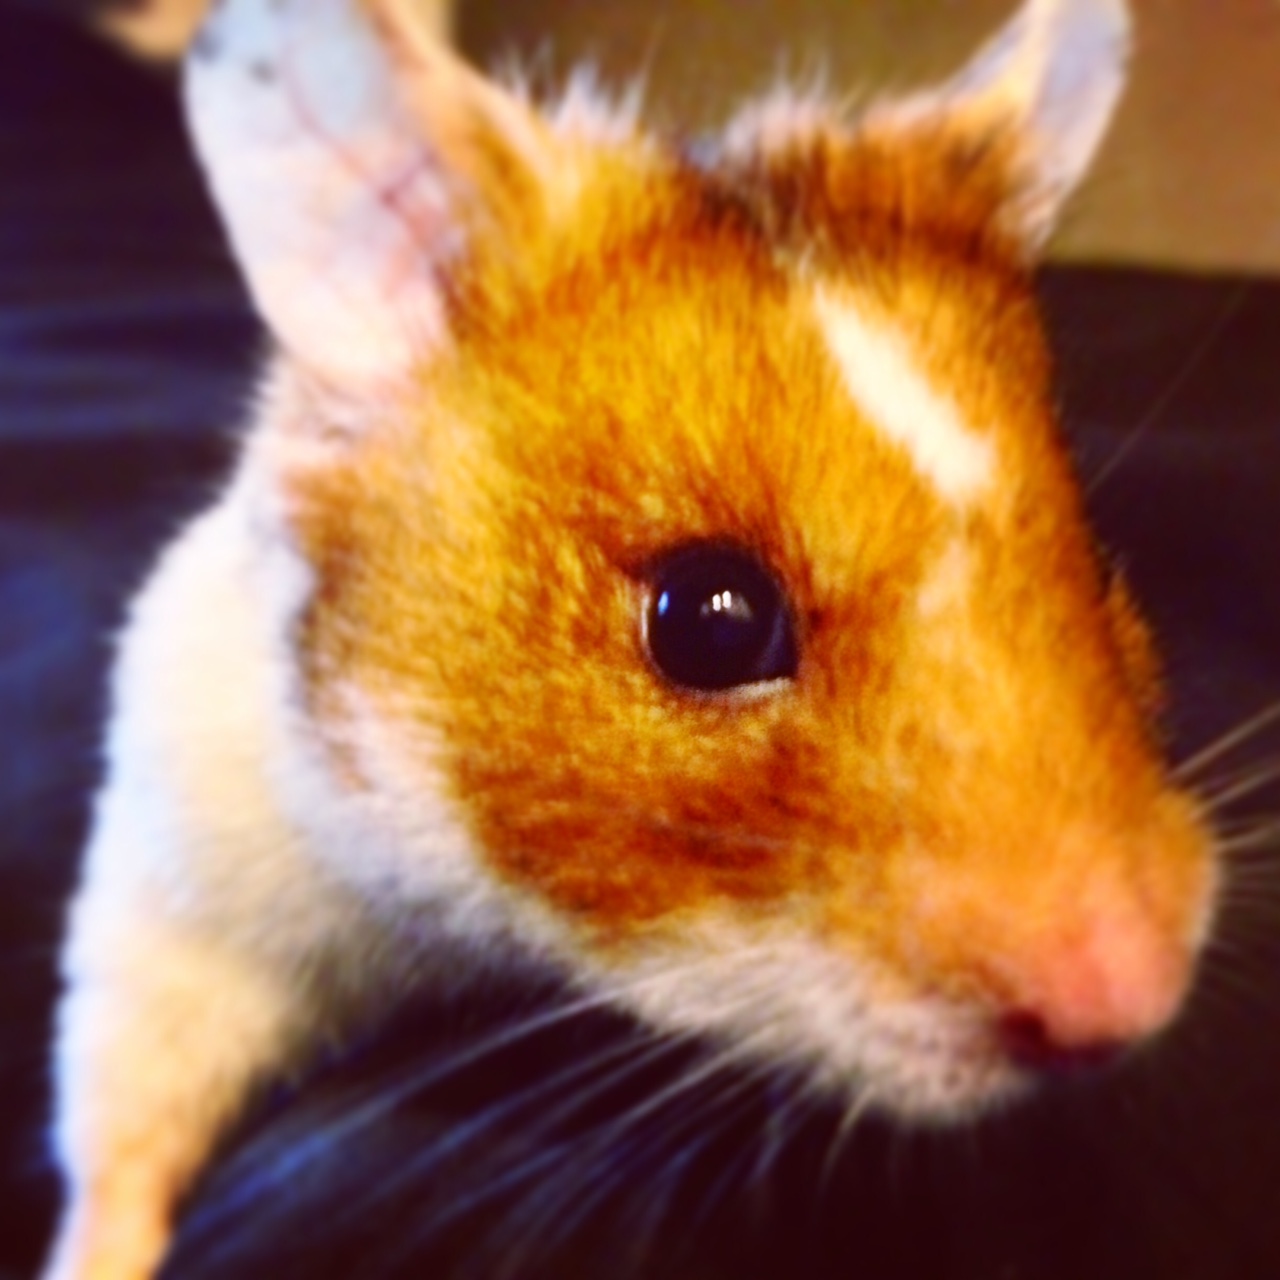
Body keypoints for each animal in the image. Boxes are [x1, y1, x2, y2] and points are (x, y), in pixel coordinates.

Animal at [41, 1, 1220, 1278]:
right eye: (710, 620)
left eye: (1090, 556)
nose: (1139, 1000)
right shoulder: (184, 875)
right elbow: (123, 1119)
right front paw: (94, 1254)